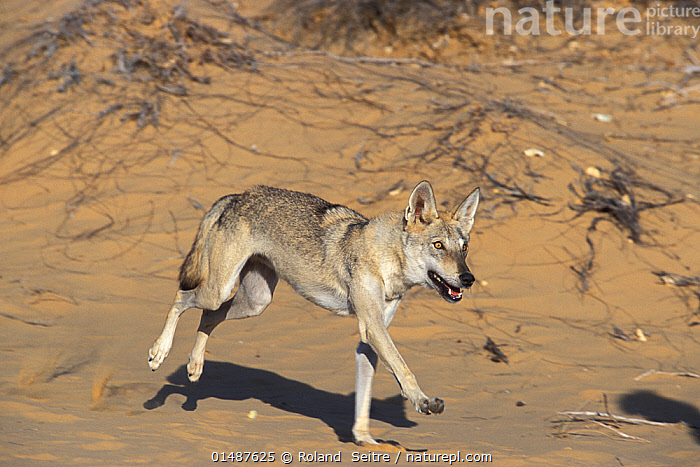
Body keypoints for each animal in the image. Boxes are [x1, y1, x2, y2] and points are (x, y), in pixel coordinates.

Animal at [148, 180, 480, 445]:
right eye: (438, 245)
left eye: (464, 248)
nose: (468, 279)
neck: (386, 260)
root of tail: (238, 195)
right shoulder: (373, 328)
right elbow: (404, 370)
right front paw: (423, 401)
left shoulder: (368, 338)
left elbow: (365, 398)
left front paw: (364, 440)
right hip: (218, 290)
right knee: (180, 298)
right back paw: (159, 355)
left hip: (254, 302)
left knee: (208, 317)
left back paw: (195, 366)